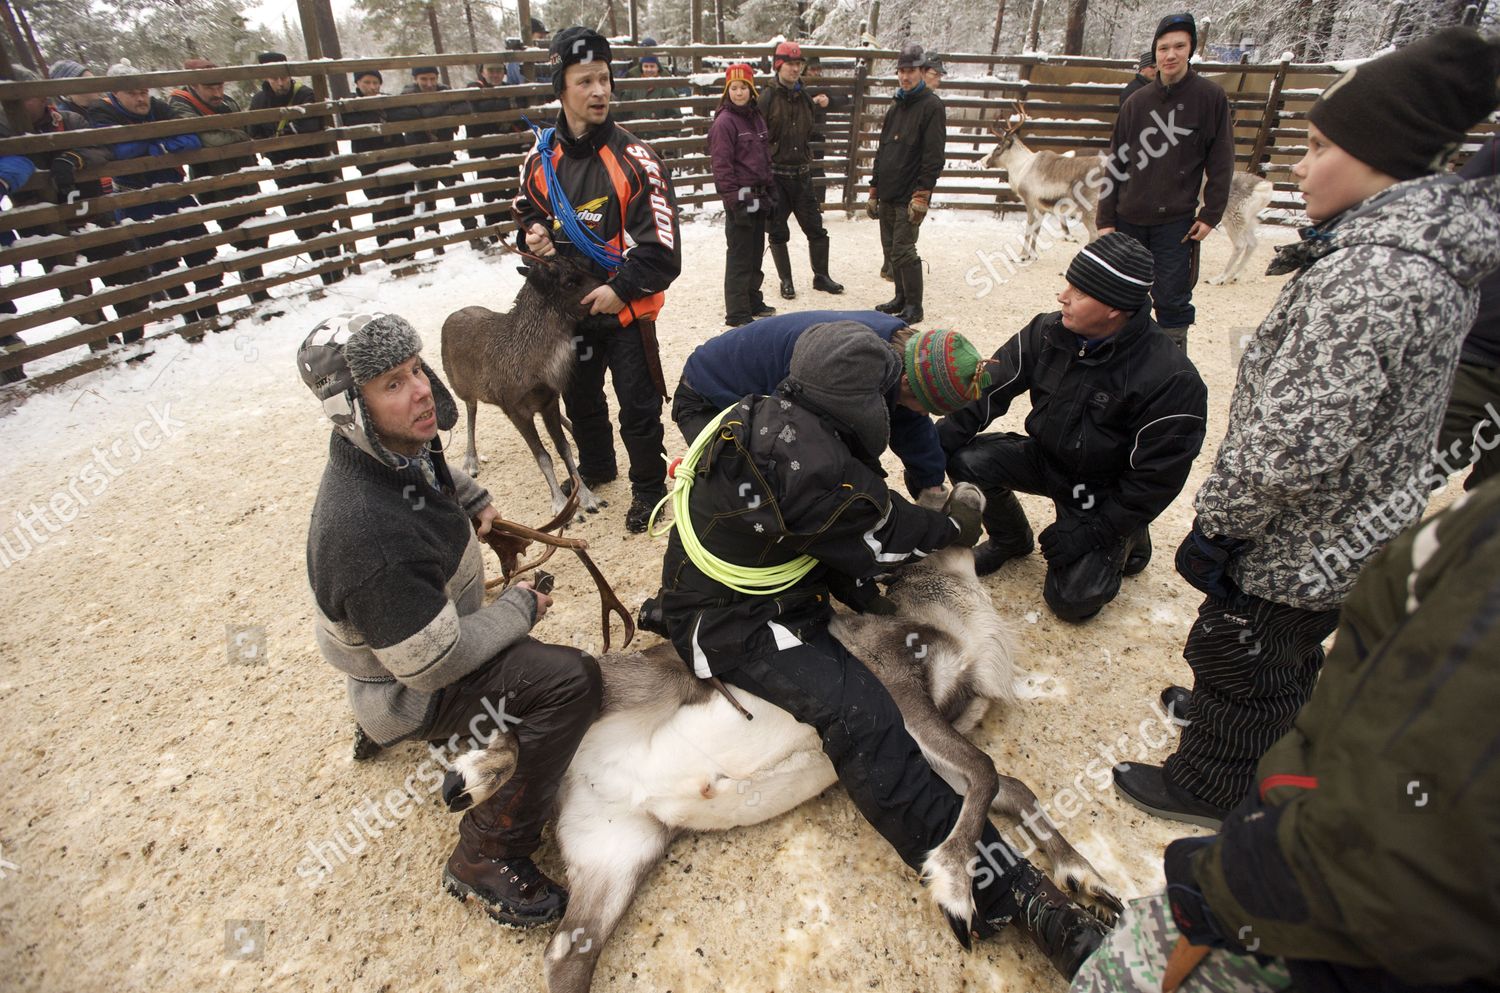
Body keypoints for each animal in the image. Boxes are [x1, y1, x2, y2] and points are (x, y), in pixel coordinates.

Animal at [441, 255, 605, 518]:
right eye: (569, 282)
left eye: (581, 265)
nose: (609, 281)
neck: (536, 365)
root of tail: (451, 316)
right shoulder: (515, 410)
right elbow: (543, 457)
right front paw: (562, 506)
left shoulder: (549, 400)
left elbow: (564, 449)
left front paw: (588, 497)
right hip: (461, 387)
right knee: (470, 411)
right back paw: (471, 460)